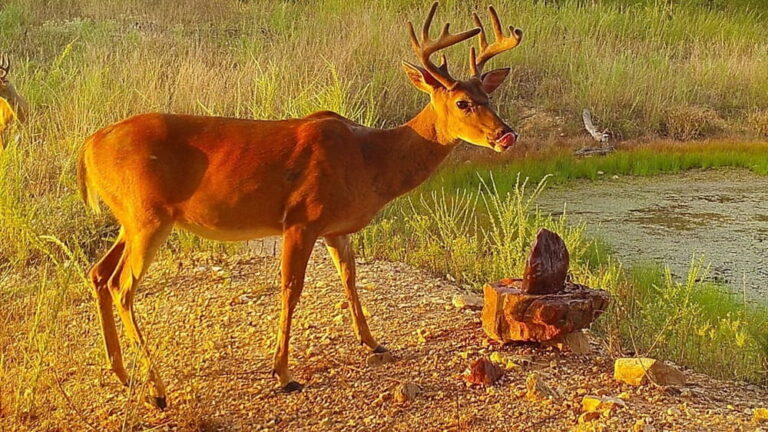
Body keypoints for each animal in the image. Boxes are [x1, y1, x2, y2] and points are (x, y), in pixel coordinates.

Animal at [77, 2, 522, 408]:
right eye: (463, 102)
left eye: (489, 95)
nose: (507, 135)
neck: (370, 160)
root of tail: (89, 145)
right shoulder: (302, 218)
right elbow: (291, 289)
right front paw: (283, 373)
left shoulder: (335, 229)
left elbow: (350, 279)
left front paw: (373, 342)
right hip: (147, 215)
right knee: (121, 285)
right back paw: (156, 391)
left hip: (130, 219)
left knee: (98, 272)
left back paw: (121, 374)